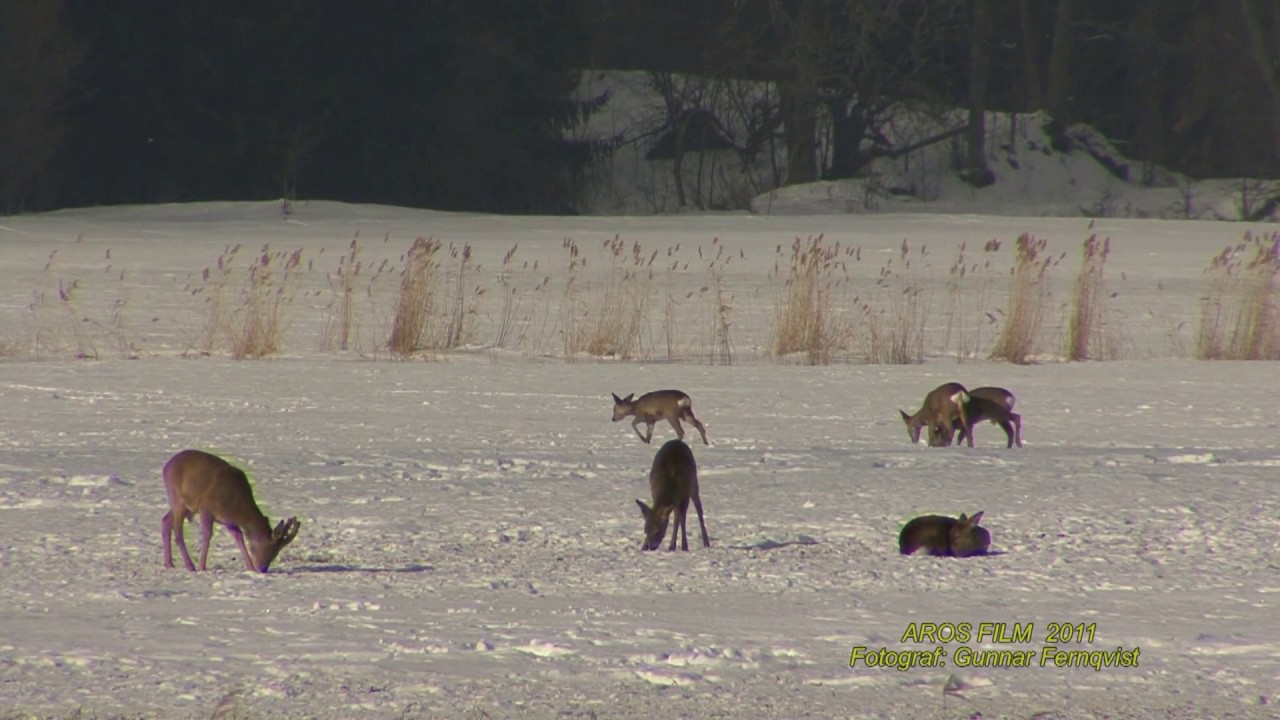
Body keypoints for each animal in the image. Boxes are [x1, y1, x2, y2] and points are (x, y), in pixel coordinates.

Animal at [161, 449, 301, 573]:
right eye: (272, 550)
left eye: (276, 552)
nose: (263, 569)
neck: (237, 508)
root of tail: (166, 467)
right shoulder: (206, 508)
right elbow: (207, 535)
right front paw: (202, 567)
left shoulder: (228, 520)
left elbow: (239, 536)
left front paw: (250, 568)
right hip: (177, 499)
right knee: (178, 532)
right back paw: (190, 566)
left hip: (186, 507)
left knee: (166, 520)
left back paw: (169, 563)